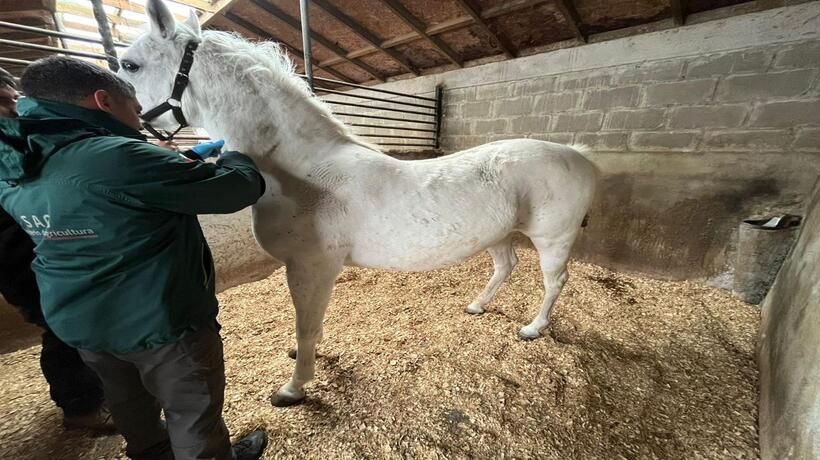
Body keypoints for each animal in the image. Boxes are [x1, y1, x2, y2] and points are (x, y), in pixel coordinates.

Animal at [119, 0, 598, 407]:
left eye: (130, 64)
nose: (134, 128)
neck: (302, 171)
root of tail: (579, 156)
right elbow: (308, 326)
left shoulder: (311, 267)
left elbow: (307, 327)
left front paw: (294, 388)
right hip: (499, 233)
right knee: (506, 266)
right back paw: (478, 306)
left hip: (553, 239)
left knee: (555, 281)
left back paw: (532, 328)